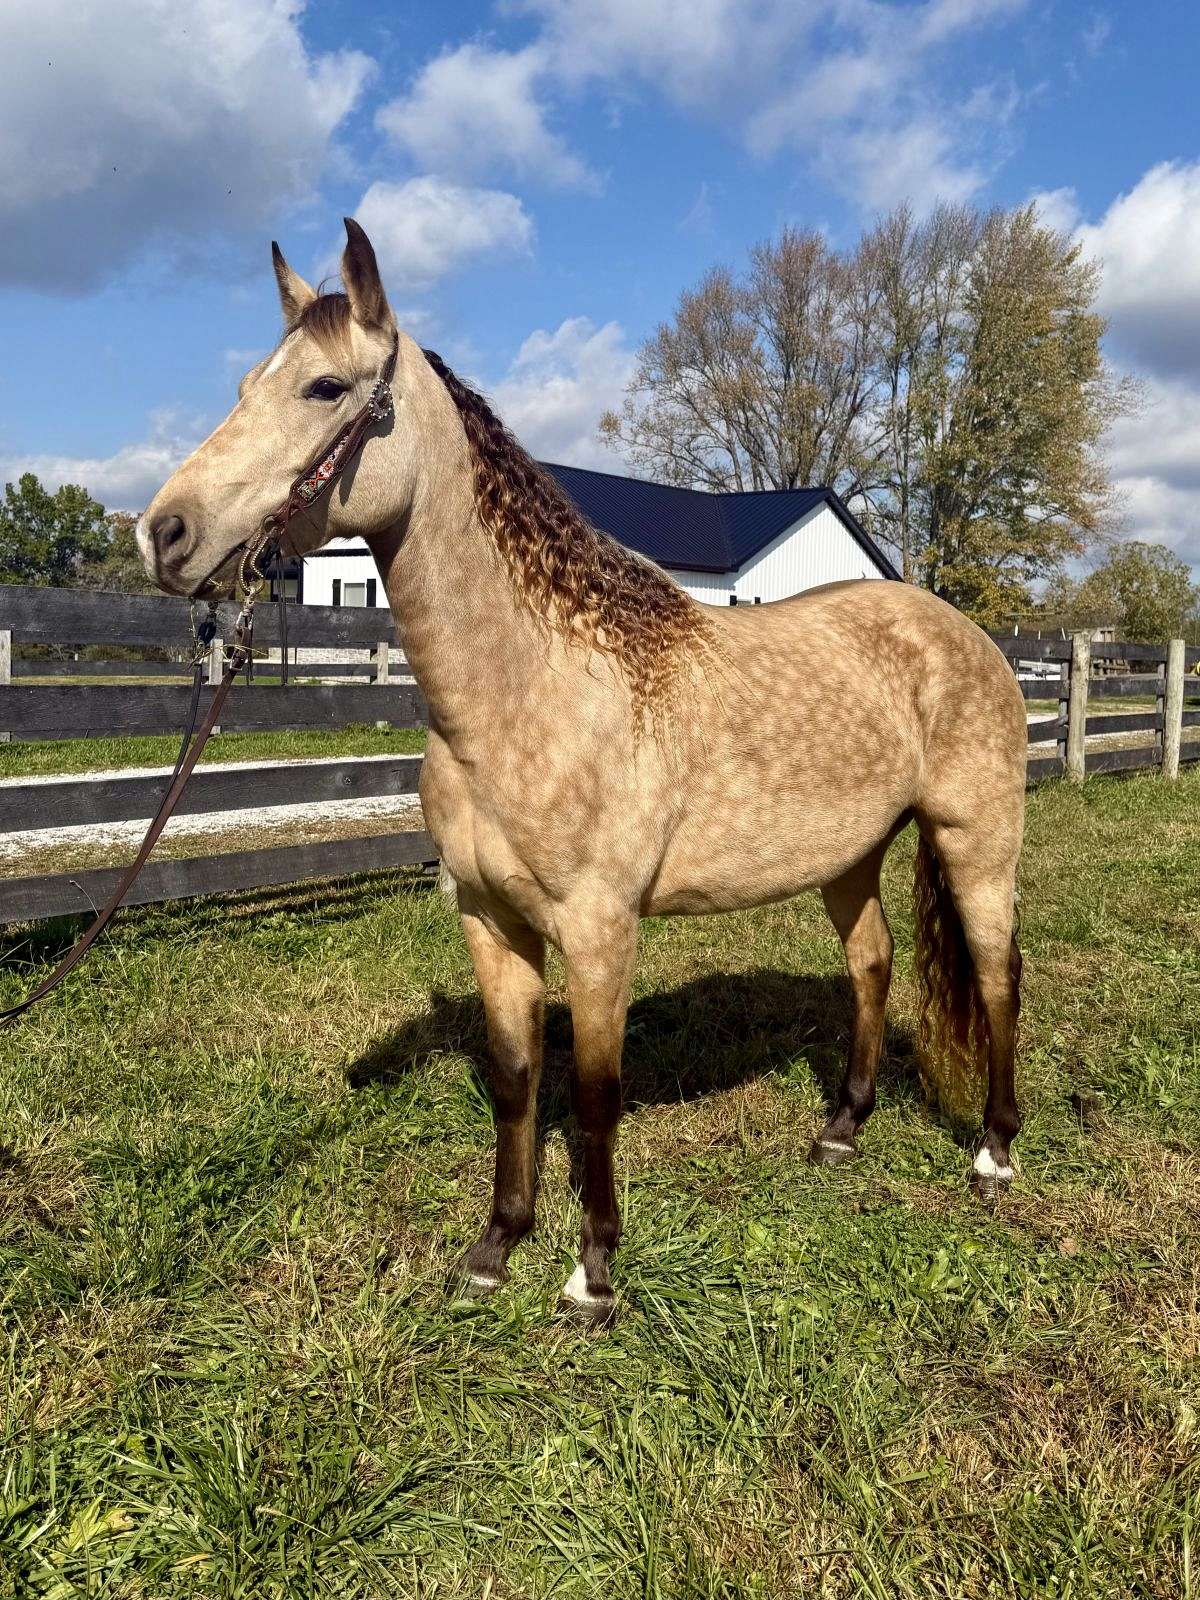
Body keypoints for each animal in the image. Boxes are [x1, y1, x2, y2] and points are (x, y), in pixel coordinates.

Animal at [138, 218, 1027, 1325]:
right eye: (246, 382)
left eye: (324, 389)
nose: (162, 534)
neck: (535, 688)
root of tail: (967, 633)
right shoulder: (491, 922)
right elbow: (521, 1077)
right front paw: (495, 1246)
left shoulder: (603, 931)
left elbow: (597, 1094)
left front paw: (593, 1273)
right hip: (849, 856)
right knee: (873, 963)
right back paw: (841, 1129)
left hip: (976, 840)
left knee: (997, 976)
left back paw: (994, 1153)